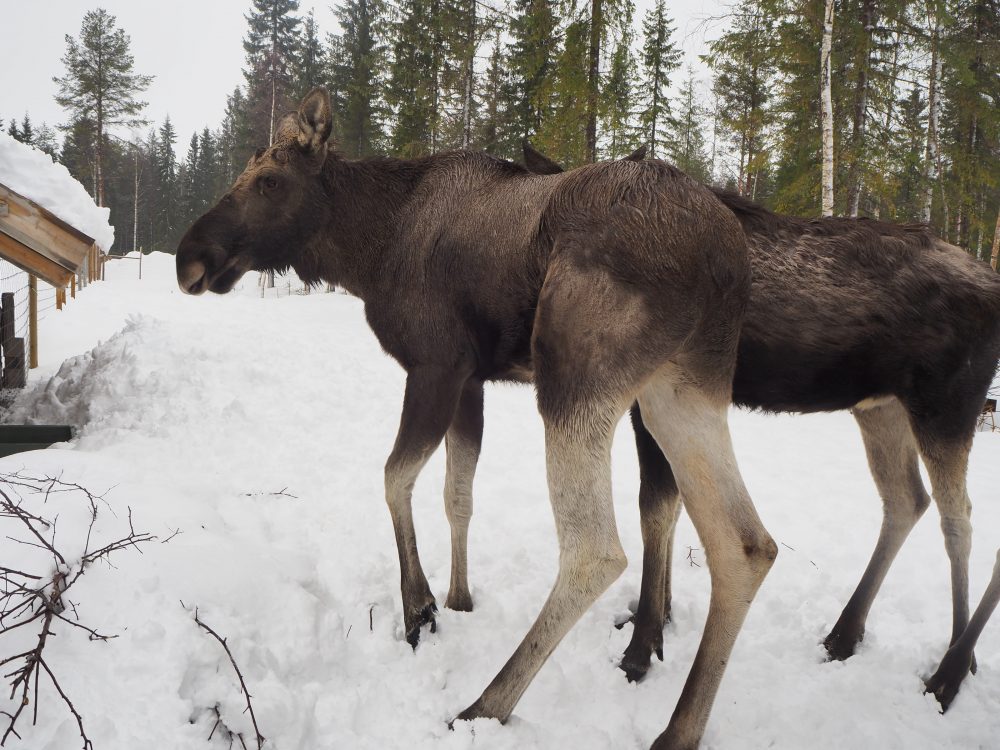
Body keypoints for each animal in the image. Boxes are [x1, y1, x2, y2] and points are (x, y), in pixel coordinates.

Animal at [176, 87, 777, 750]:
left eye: (269, 181)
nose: (188, 259)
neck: (369, 250)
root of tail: (723, 255)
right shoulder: (471, 381)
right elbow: (456, 492)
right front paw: (459, 597)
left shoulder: (435, 365)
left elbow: (395, 477)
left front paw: (419, 608)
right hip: (681, 387)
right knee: (745, 544)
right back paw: (677, 728)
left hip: (577, 376)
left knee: (596, 551)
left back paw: (486, 703)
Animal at [522, 142, 1000, 708]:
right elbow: (672, 509)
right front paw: (658, 615)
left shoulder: (653, 397)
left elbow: (655, 510)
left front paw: (643, 646)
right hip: (881, 407)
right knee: (908, 501)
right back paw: (848, 633)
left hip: (948, 403)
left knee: (960, 520)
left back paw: (952, 667)